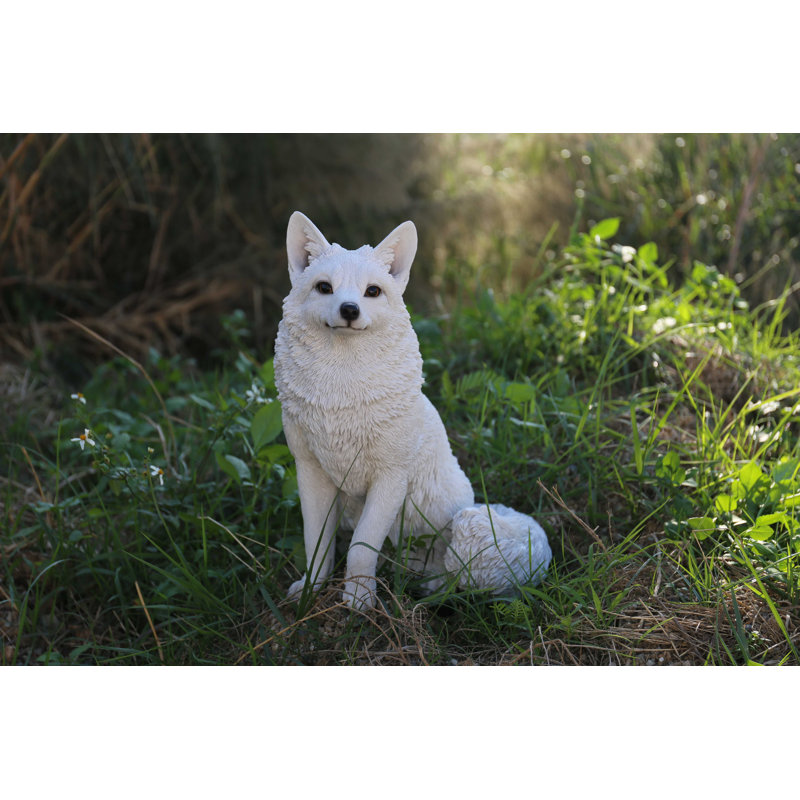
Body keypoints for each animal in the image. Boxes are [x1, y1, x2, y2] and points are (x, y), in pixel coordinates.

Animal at [273, 211, 551, 609]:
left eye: (372, 291)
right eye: (324, 287)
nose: (349, 310)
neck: (340, 392)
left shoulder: (391, 476)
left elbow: (361, 547)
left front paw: (358, 600)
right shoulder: (311, 471)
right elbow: (317, 545)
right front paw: (311, 591)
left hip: (467, 529)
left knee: (456, 584)